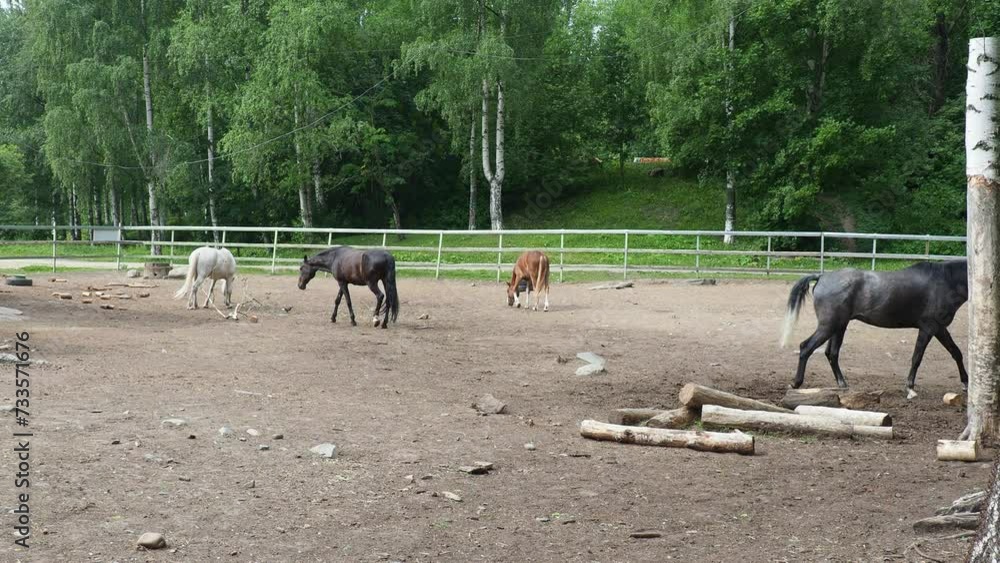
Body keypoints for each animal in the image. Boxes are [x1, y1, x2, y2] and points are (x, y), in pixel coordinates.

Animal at [781, 259, 968, 397]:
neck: (945, 281)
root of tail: (822, 277)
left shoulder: (940, 328)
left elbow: (956, 352)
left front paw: (966, 383)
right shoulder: (929, 328)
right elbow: (917, 357)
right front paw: (910, 388)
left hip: (839, 326)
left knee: (831, 354)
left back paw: (842, 384)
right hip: (828, 326)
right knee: (806, 347)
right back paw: (796, 383)